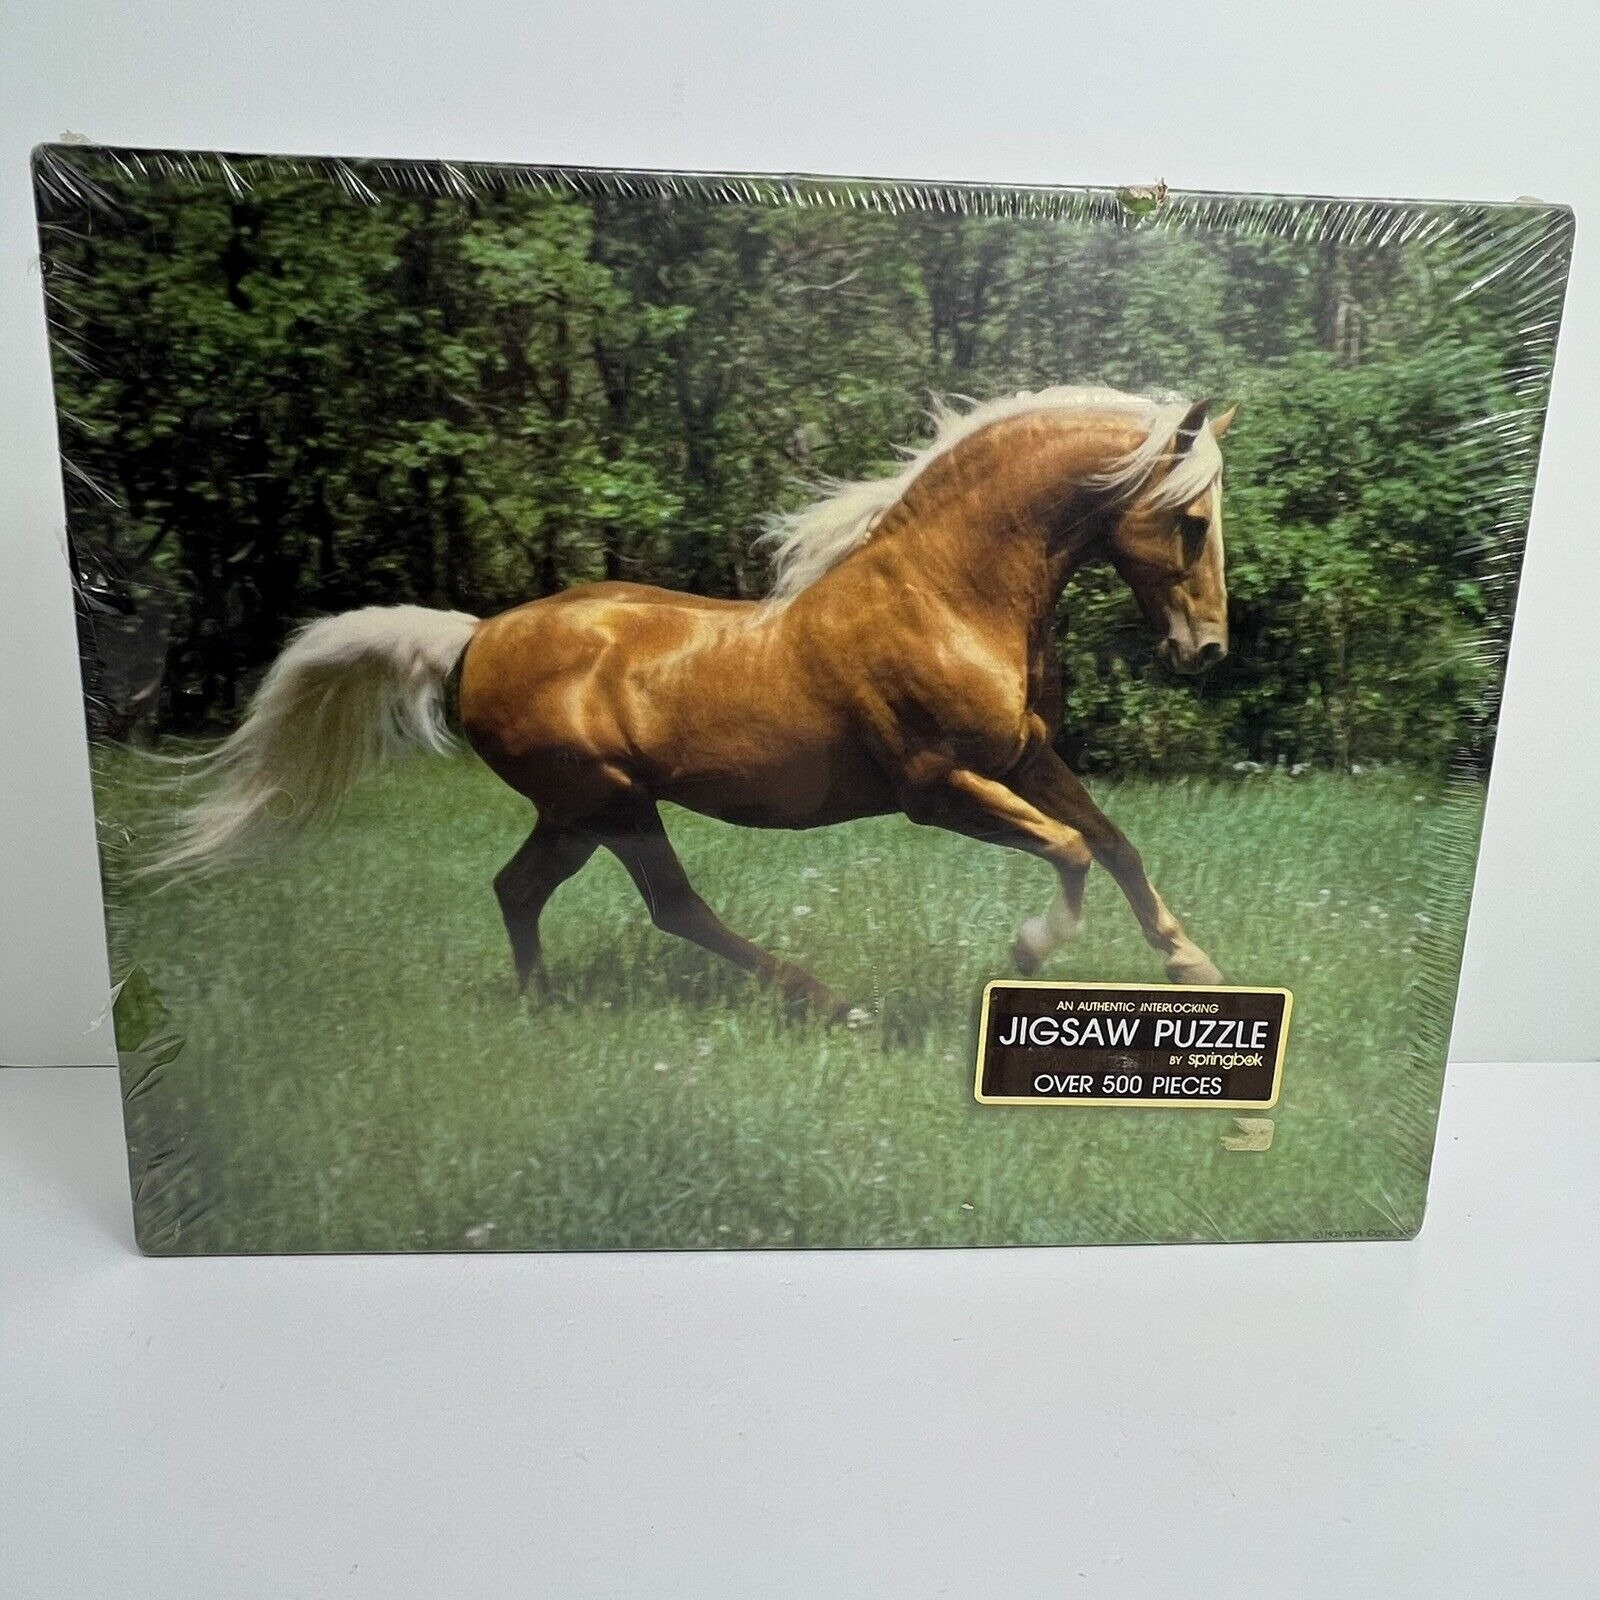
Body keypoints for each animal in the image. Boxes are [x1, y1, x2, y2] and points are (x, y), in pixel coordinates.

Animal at [152, 386, 1237, 1019]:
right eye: (1190, 519)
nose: (1207, 650)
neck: (944, 595)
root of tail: (473, 638)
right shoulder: (937, 788)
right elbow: (1068, 851)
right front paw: (1027, 948)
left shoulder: (1023, 755)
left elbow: (1114, 842)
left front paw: (1196, 969)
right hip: (611, 802)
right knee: (673, 906)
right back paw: (825, 1000)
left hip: (576, 813)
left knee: (519, 890)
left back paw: (542, 1009)